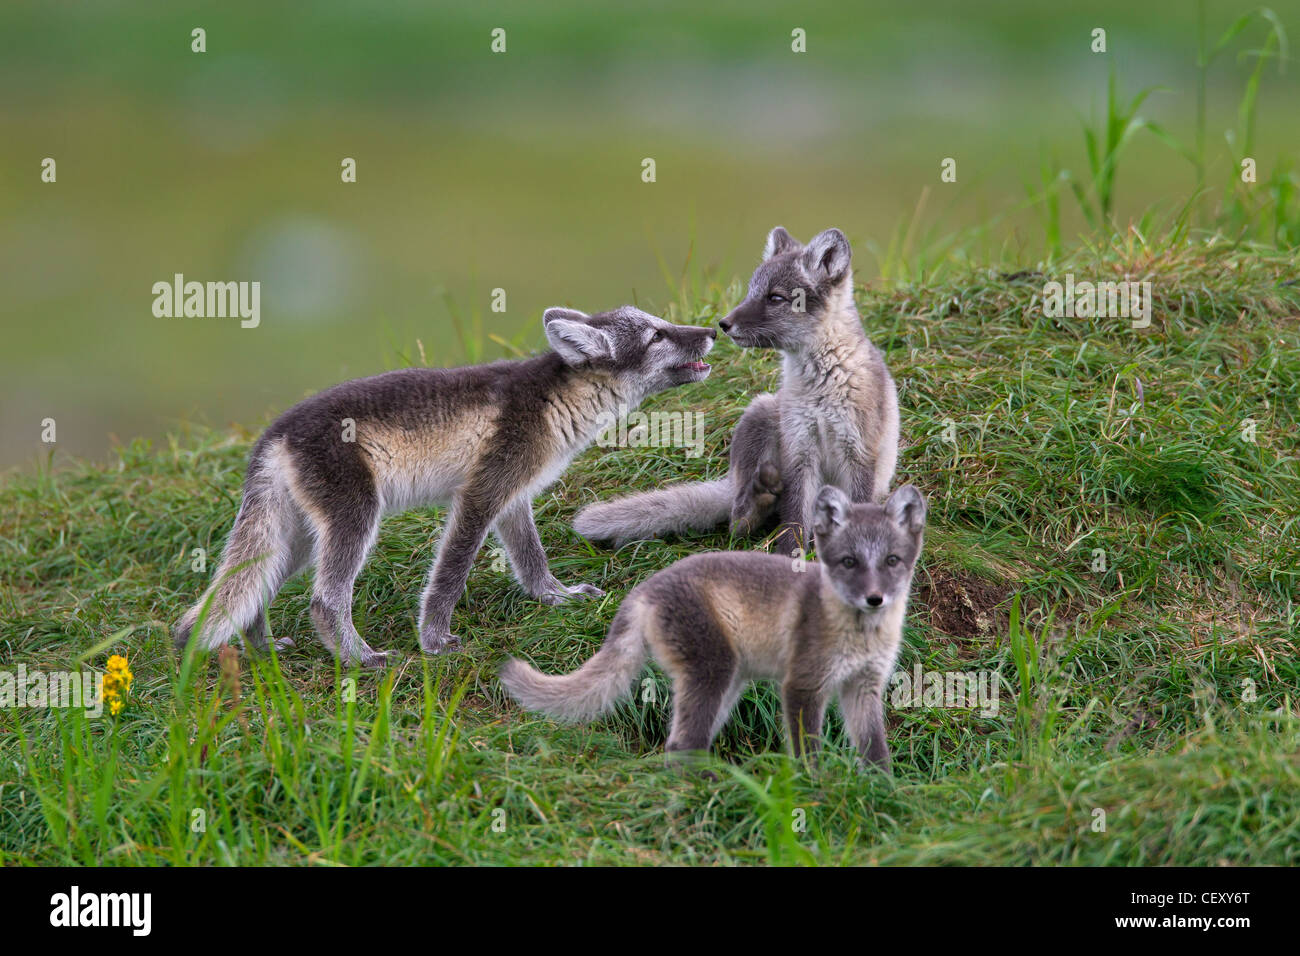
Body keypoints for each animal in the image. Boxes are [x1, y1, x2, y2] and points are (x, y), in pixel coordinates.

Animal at [174, 306, 716, 666]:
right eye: (656, 335)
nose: (713, 329)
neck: (555, 401)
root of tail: (275, 434)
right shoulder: (479, 495)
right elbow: (450, 577)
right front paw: (434, 640)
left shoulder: (512, 495)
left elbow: (531, 559)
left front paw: (556, 597)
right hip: (354, 517)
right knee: (324, 601)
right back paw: (359, 658)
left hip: (301, 538)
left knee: (251, 587)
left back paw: (264, 649)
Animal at [502, 483, 927, 770]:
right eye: (848, 562)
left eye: (892, 560)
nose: (875, 599)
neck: (860, 637)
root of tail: (644, 588)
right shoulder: (802, 684)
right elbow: (807, 751)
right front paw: (814, 789)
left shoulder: (864, 685)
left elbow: (875, 749)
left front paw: (882, 790)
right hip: (713, 670)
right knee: (680, 746)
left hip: (730, 682)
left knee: (687, 743)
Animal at [573, 226, 899, 557]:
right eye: (751, 291)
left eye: (775, 297)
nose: (723, 324)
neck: (822, 385)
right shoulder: (799, 450)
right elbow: (794, 521)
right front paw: (788, 558)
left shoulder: (859, 450)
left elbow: (858, 506)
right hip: (762, 412)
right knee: (736, 520)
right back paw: (756, 502)